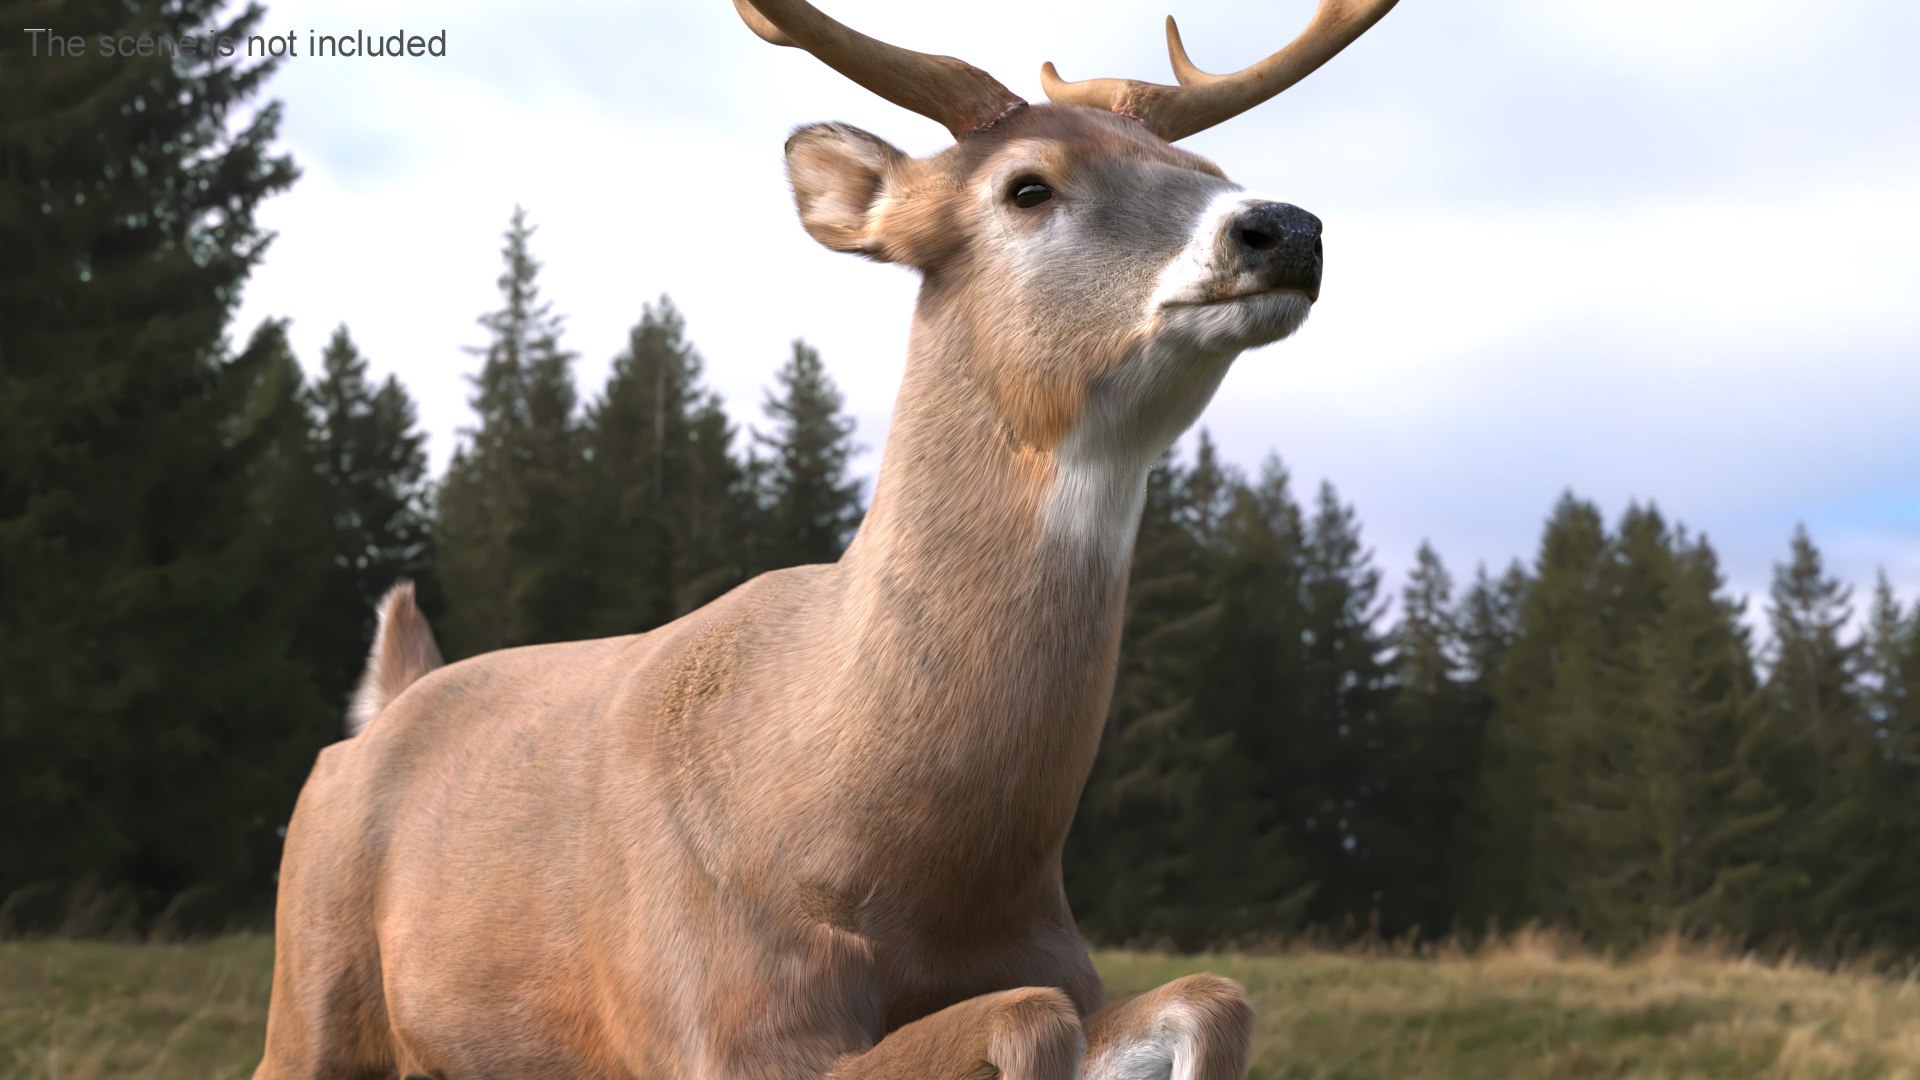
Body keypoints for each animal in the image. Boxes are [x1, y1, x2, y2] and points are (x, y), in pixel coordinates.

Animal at [255, 0, 1399, 1076]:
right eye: (1028, 186)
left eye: (1208, 168)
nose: (1283, 227)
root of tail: (386, 700)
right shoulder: (721, 1015)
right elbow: (1029, 1020)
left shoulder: (1059, 960)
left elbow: (1210, 999)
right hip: (308, 990)